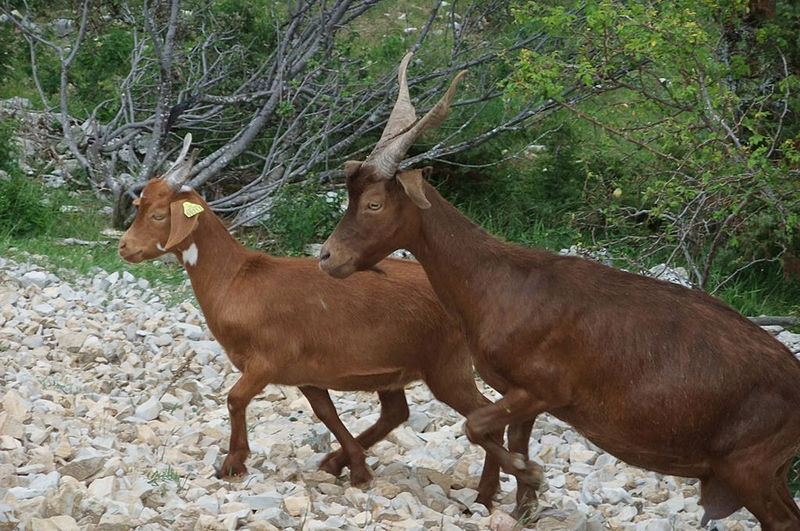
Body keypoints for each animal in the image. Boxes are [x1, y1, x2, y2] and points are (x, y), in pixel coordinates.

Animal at [117, 135, 505, 507]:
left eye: (157, 215)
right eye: (139, 207)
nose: (124, 248)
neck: (235, 278)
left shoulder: (268, 360)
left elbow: (235, 399)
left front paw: (233, 463)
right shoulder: (305, 373)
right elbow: (325, 413)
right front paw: (357, 469)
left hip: (447, 364)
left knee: (484, 415)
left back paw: (485, 495)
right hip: (396, 366)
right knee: (397, 411)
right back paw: (338, 462)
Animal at [319, 53, 800, 530]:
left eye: (374, 203)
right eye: (350, 196)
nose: (327, 257)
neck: (498, 283)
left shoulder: (544, 389)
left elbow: (476, 425)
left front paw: (528, 475)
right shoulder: (519, 394)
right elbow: (507, 439)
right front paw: (518, 501)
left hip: (749, 465)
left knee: (781, 520)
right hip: (767, 470)